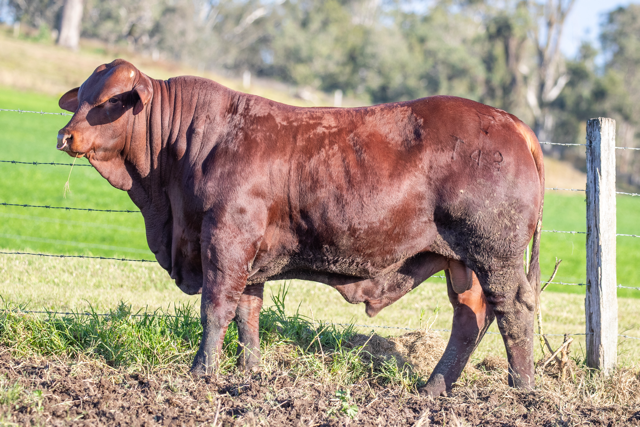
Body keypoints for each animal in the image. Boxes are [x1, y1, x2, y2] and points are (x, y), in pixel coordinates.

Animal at [57, 59, 544, 396]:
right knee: (470, 316)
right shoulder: (249, 258)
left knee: (513, 308)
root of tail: (510, 121)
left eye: (111, 101)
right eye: (81, 98)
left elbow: (216, 308)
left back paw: (522, 389)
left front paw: (201, 372)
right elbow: (247, 314)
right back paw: (433, 389)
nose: (65, 136)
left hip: (494, 254)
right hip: (461, 261)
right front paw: (249, 374)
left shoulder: (226, 239)